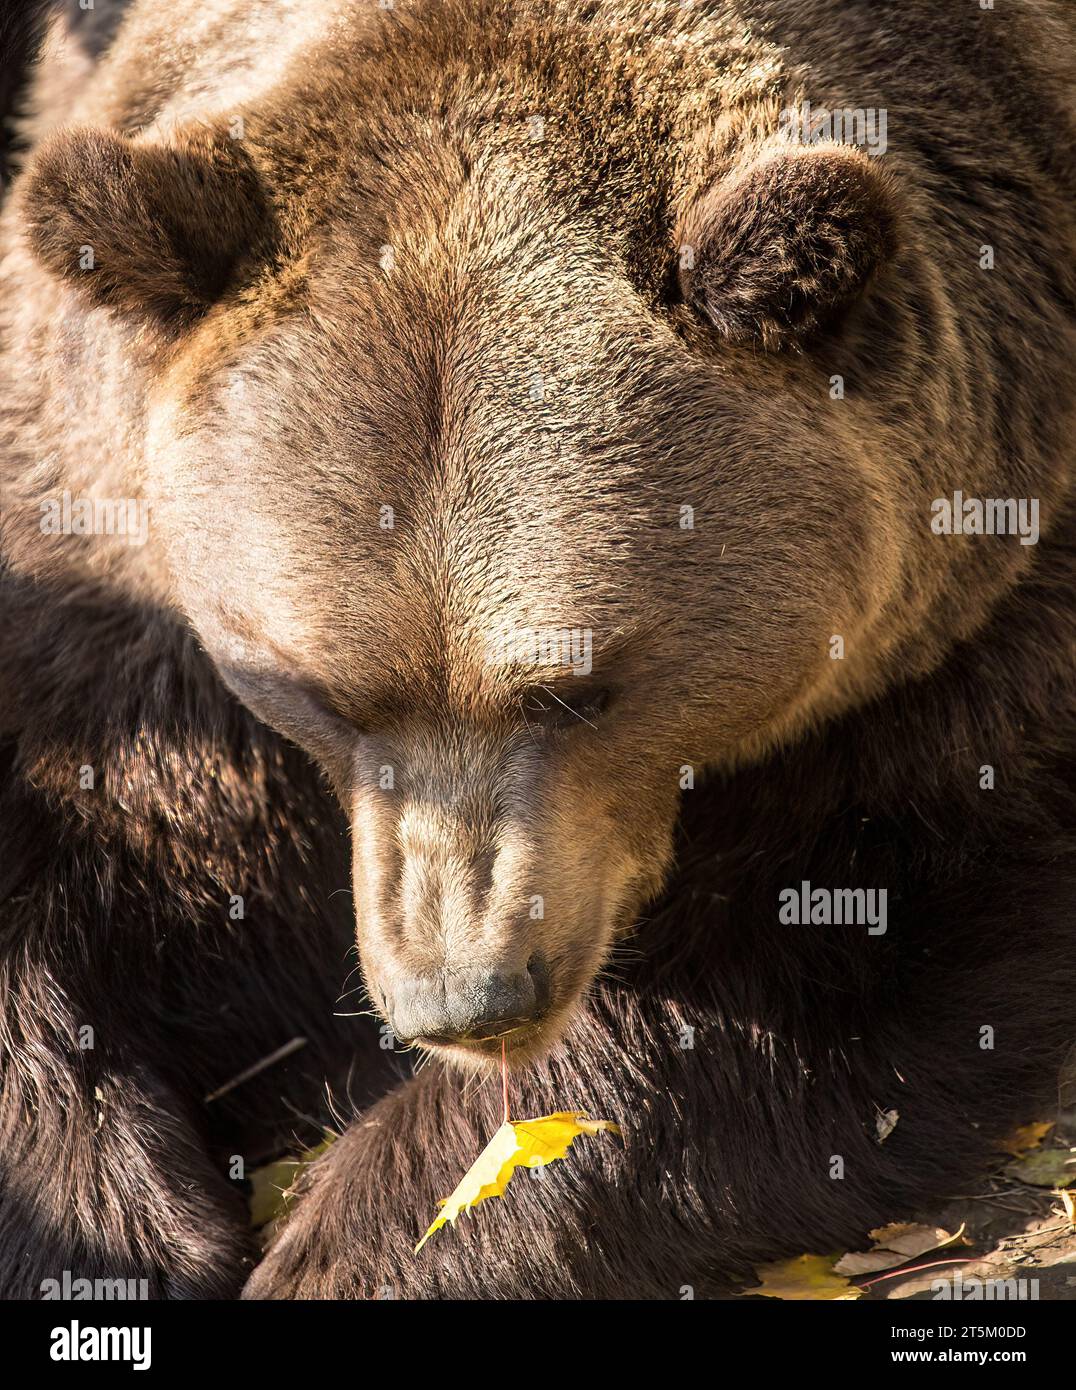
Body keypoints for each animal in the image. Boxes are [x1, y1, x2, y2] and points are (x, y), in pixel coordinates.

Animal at [1, 0, 1074, 1301]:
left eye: (577, 690)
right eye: (321, 692)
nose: (466, 997)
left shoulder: (966, 634)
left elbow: (835, 945)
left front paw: (361, 1238)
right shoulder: (116, 578)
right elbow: (112, 836)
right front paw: (100, 1215)